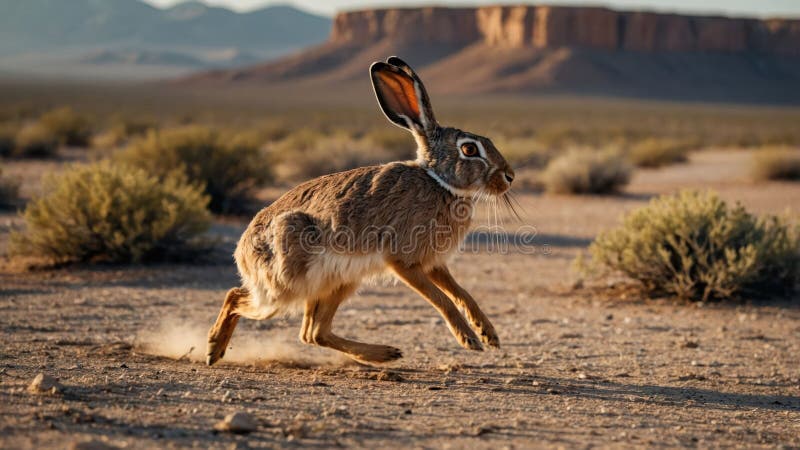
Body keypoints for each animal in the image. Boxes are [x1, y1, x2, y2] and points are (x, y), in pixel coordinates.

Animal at [207, 56, 515, 366]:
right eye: (469, 149)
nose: (510, 176)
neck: (440, 183)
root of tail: (241, 253)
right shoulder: (402, 261)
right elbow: (442, 299)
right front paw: (469, 339)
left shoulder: (433, 263)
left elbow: (462, 293)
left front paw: (489, 334)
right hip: (285, 284)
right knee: (236, 296)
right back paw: (213, 348)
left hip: (337, 282)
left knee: (312, 333)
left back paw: (383, 354)